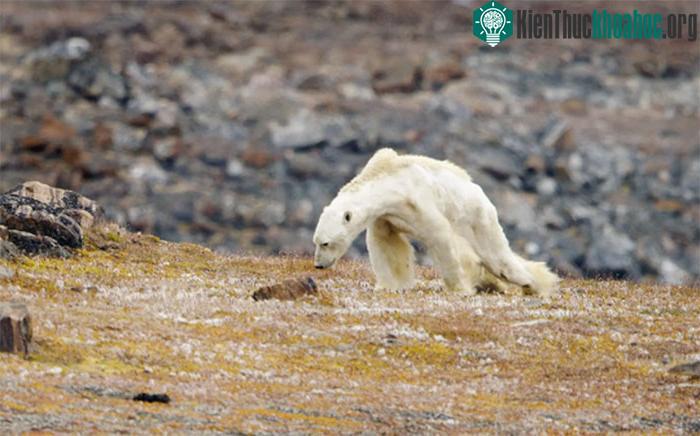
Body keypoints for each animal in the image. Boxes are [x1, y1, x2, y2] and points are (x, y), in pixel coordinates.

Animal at [312, 147, 556, 296]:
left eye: (325, 243)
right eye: (316, 241)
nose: (318, 265)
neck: (390, 180)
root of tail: (482, 194)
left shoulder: (418, 201)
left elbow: (440, 237)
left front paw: (460, 288)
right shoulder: (386, 215)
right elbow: (386, 245)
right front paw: (388, 286)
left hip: (477, 219)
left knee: (498, 259)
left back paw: (533, 284)